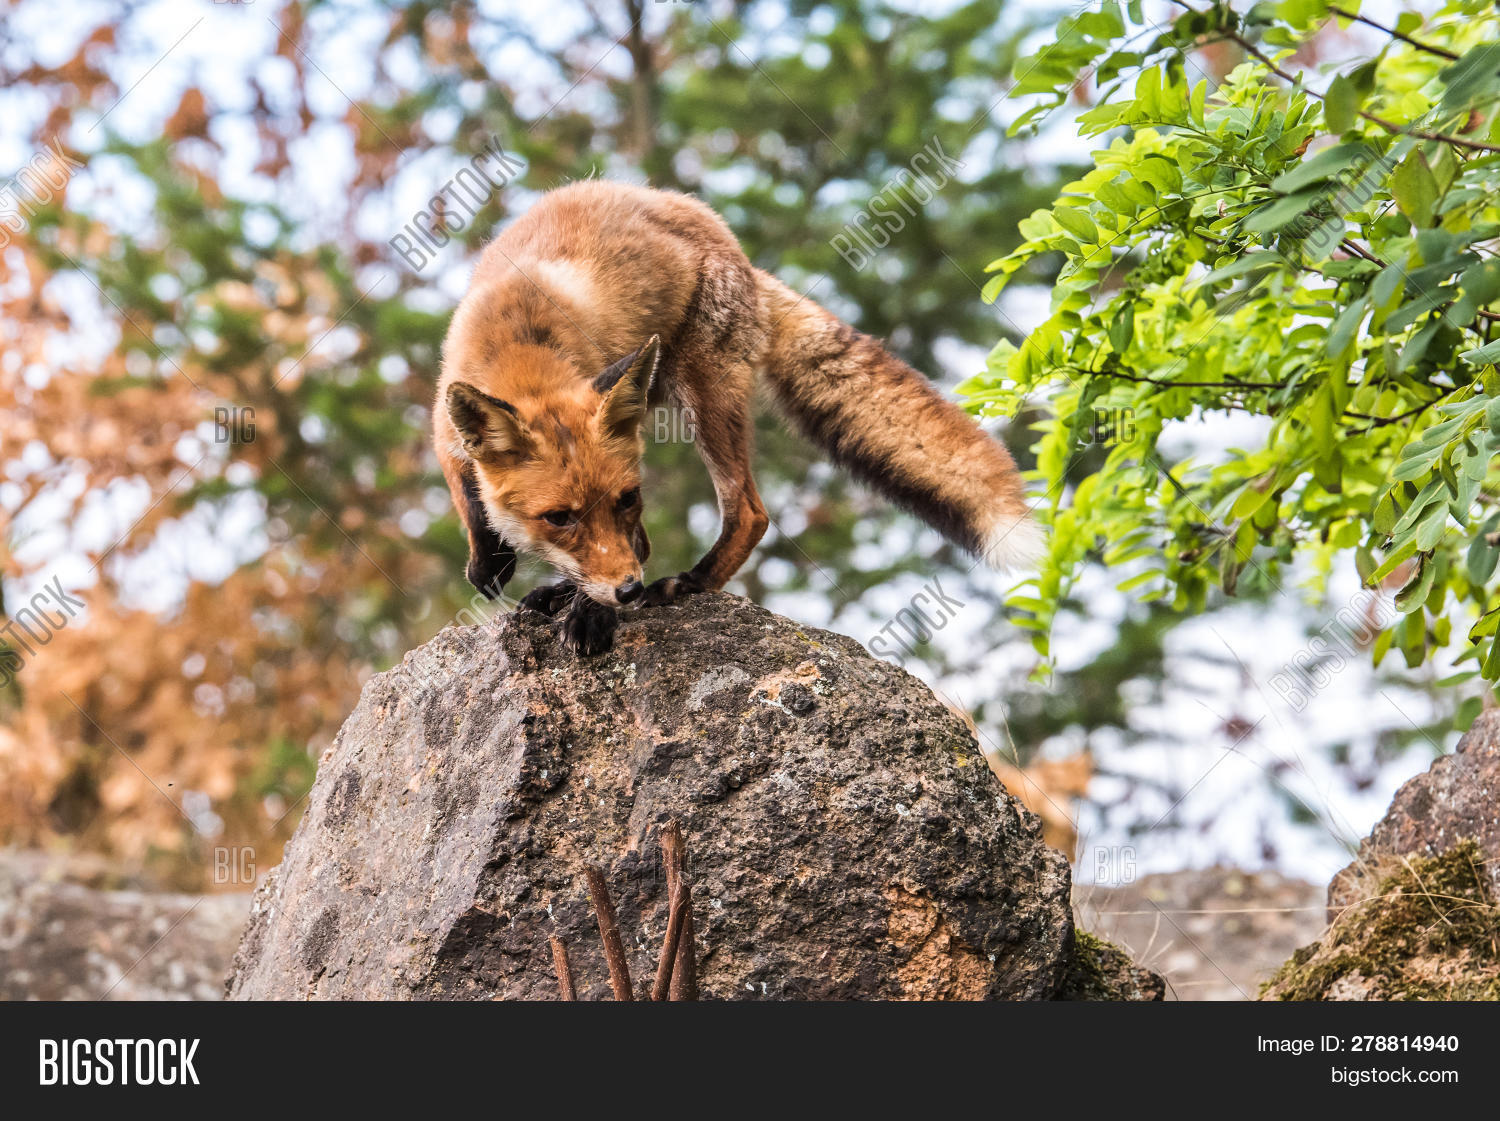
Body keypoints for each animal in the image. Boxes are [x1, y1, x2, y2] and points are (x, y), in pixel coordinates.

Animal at [435, 180, 1041, 655]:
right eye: (559, 517)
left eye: (624, 499)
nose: (629, 592)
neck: (520, 344)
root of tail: (727, 239)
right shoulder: (447, 429)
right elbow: (471, 499)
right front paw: (493, 564)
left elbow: (626, 549)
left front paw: (593, 613)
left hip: (704, 394)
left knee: (748, 513)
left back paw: (688, 583)